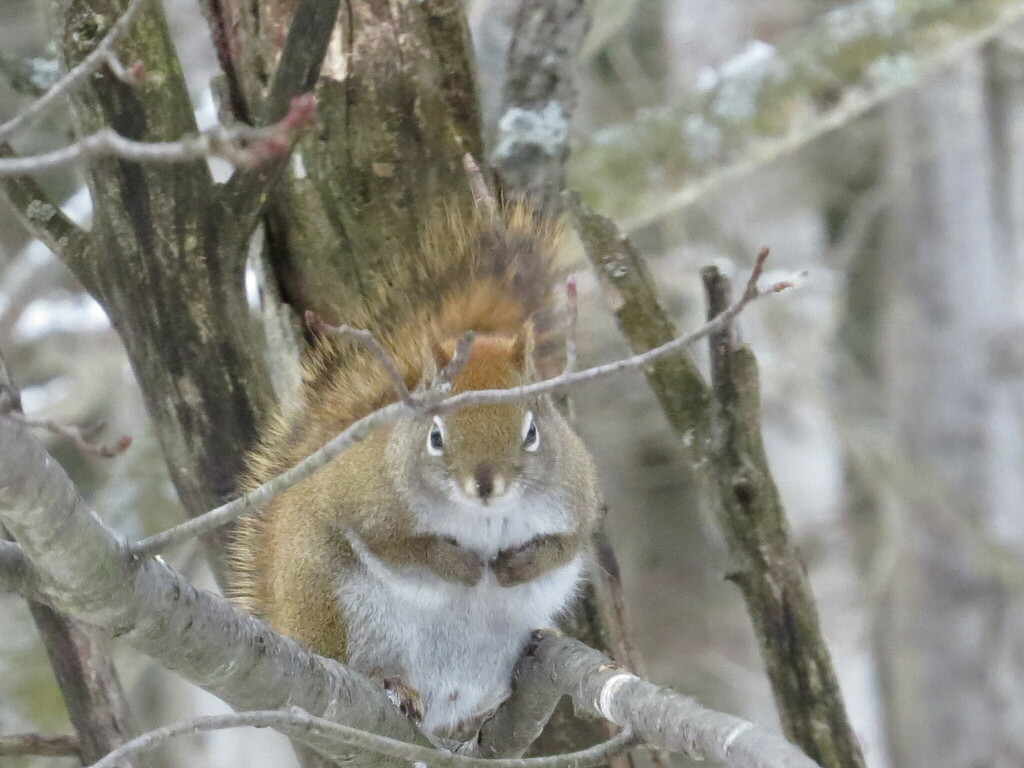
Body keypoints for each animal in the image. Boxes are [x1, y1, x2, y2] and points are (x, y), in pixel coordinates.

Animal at [228, 199, 601, 738]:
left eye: (532, 430)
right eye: (435, 436)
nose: (485, 485)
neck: (483, 517)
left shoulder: (576, 495)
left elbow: (567, 545)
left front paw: (520, 565)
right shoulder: (364, 498)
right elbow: (399, 547)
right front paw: (459, 566)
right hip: (330, 603)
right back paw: (390, 683)